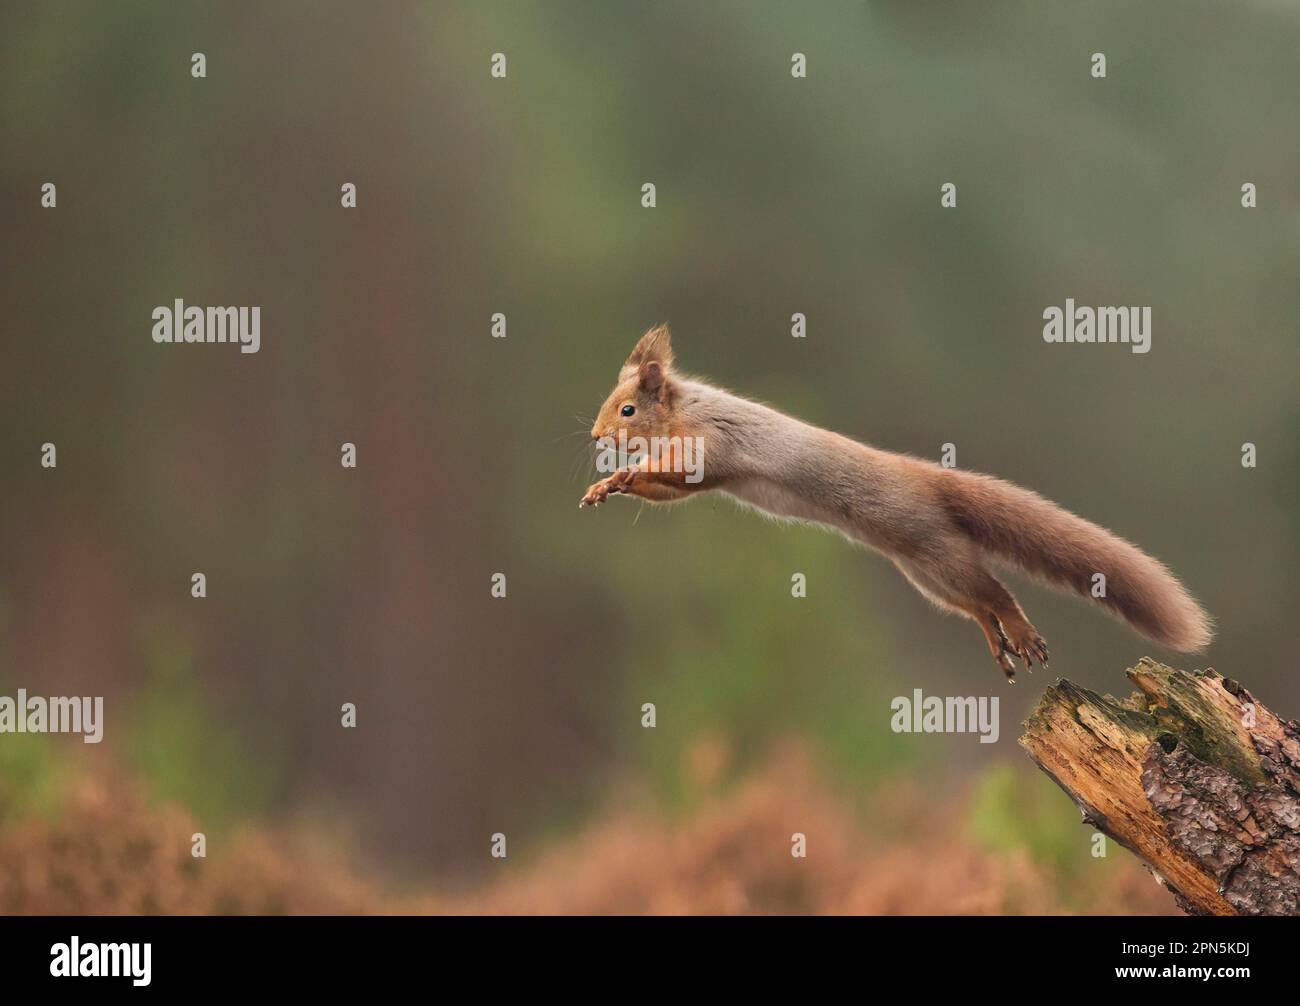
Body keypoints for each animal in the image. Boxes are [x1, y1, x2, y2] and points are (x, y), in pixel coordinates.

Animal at [580, 324, 1213, 680]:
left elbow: (678, 474)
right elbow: (670, 490)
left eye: (628, 410)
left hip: (933, 548)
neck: (682, 413)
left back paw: (1021, 633)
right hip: (924, 574)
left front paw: (621, 477)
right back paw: (997, 643)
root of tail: (926, 479)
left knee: (995, 592)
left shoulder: (713, 444)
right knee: (974, 605)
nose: (595, 437)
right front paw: (605, 487)